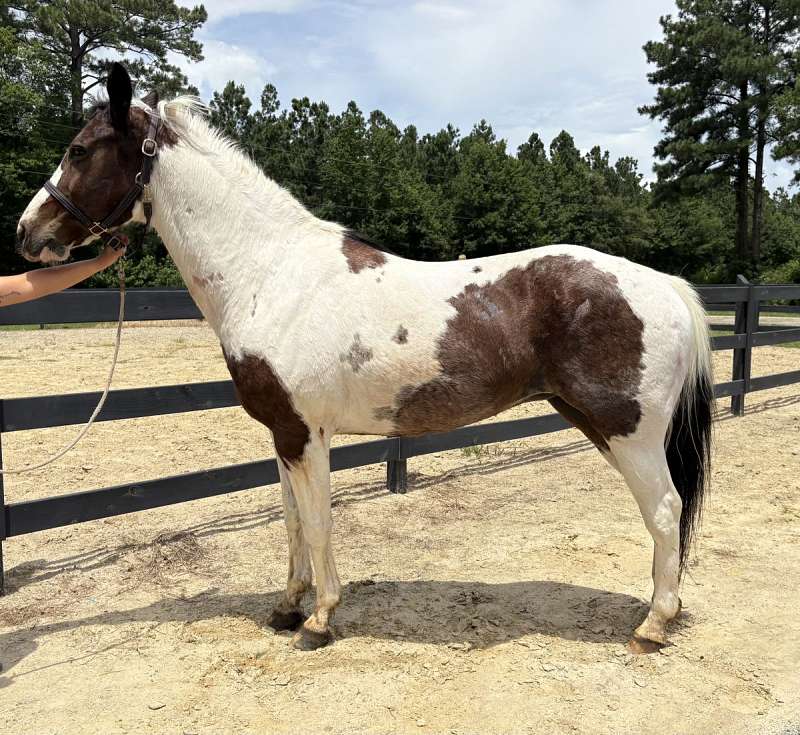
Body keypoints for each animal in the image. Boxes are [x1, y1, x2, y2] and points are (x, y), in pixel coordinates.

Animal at [17, 63, 713, 653]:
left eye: (79, 150)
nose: (27, 234)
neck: (268, 272)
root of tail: (666, 287)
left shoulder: (306, 434)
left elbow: (319, 523)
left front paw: (320, 620)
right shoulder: (284, 435)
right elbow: (292, 524)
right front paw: (288, 607)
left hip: (629, 432)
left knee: (666, 511)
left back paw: (652, 626)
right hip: (597, 423)